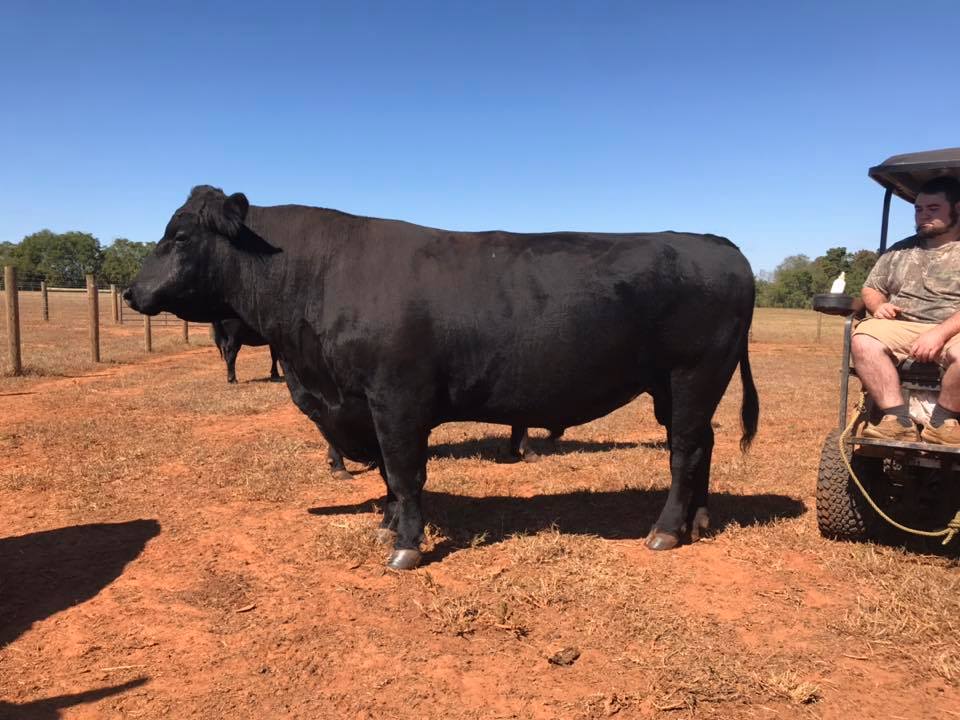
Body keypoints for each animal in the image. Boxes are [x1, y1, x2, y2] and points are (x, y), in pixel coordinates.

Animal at [125, 186, 759, 570]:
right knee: (702, 443)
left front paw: (406, 546)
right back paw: (700, 519)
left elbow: (405, 473)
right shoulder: (364, 403)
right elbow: (387, 474)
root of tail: (714, 242)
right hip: (676, 387)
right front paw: (386, 526)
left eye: (180, 236)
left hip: (692, 375)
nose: (131, 291)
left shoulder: (396, 399)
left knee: (683, 451)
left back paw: (667, 530)